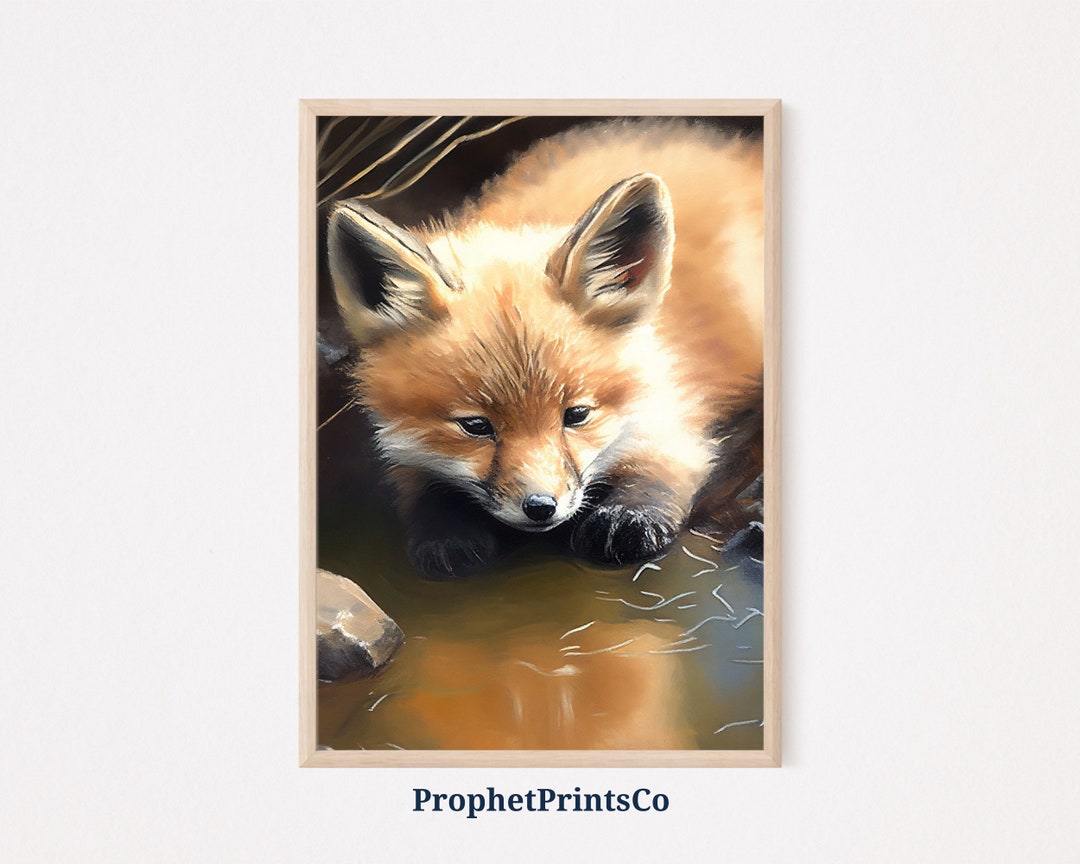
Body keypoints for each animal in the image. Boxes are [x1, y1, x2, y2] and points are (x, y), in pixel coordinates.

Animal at [327, 119, 764, 580]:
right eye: (475, 426)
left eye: (577, 415)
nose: (540, 508)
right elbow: (422, 486)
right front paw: (446, 533)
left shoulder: (670, 410)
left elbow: (669, 466)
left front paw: (628, 517)